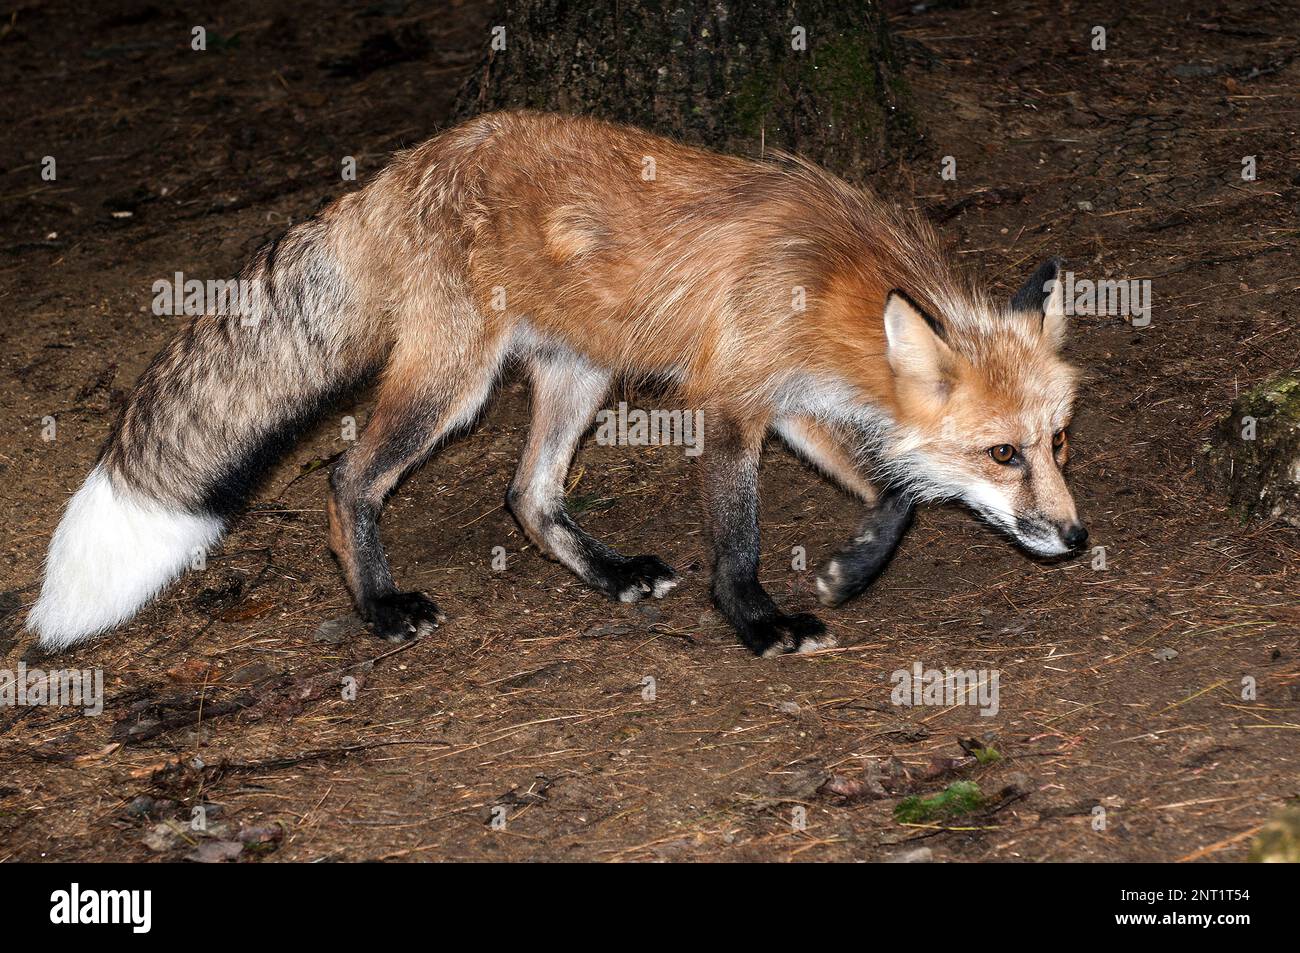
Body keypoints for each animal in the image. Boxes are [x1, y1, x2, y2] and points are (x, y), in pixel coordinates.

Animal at [26, 110, 1085, 658]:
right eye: (1002, 452)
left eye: (1057, 442)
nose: (1077, 538)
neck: (826, 279)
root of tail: (397, 171)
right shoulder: (732, 403)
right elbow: (738, 541)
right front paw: (757, 622)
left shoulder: (793, 407)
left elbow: (895, 493)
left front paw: (851, 568)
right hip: (452, 385)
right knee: (347, 477)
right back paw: (381, 606)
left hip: (582, 374)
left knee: (527, 495)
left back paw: (610, 573)